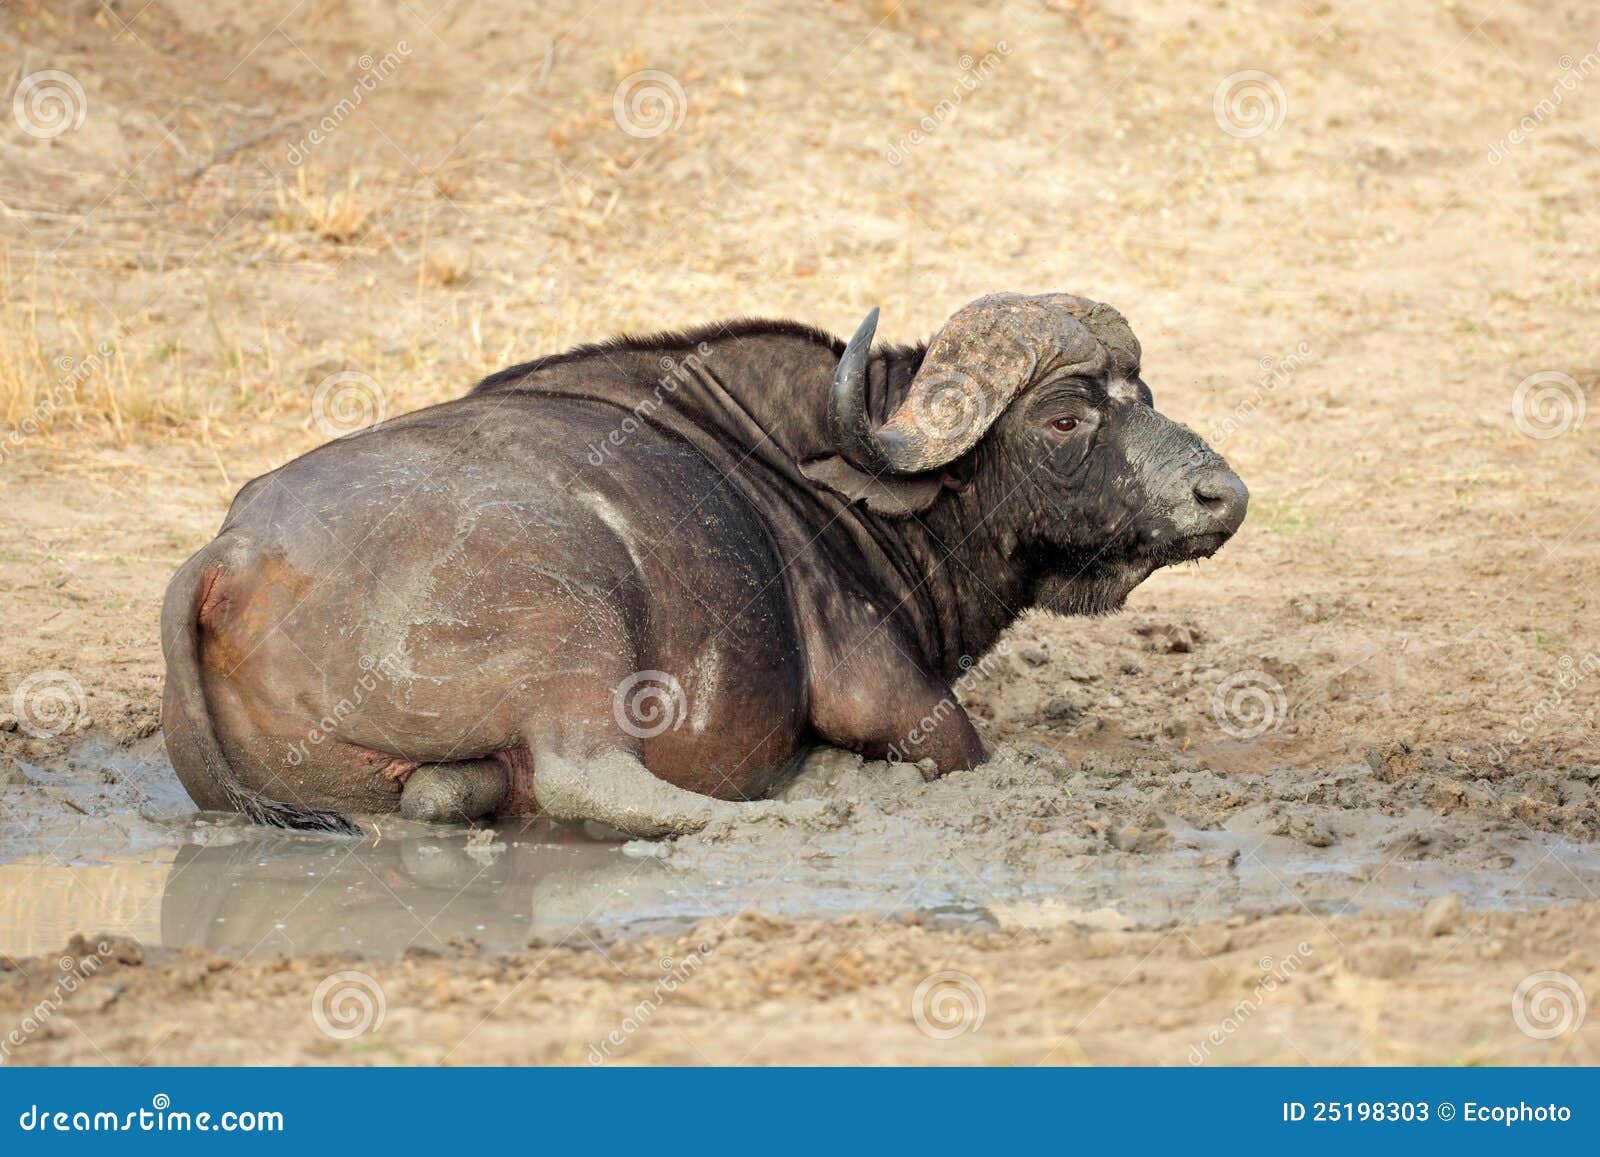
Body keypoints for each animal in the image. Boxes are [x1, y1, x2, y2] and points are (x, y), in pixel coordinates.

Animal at [160, 292, 1247, 837]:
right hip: (574, 613)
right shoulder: (899, 698)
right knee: (588, 777)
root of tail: (232, 551)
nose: (1222, 494)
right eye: (1066, 416)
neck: (843, 477)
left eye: (1145, 394)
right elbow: (961, 743)